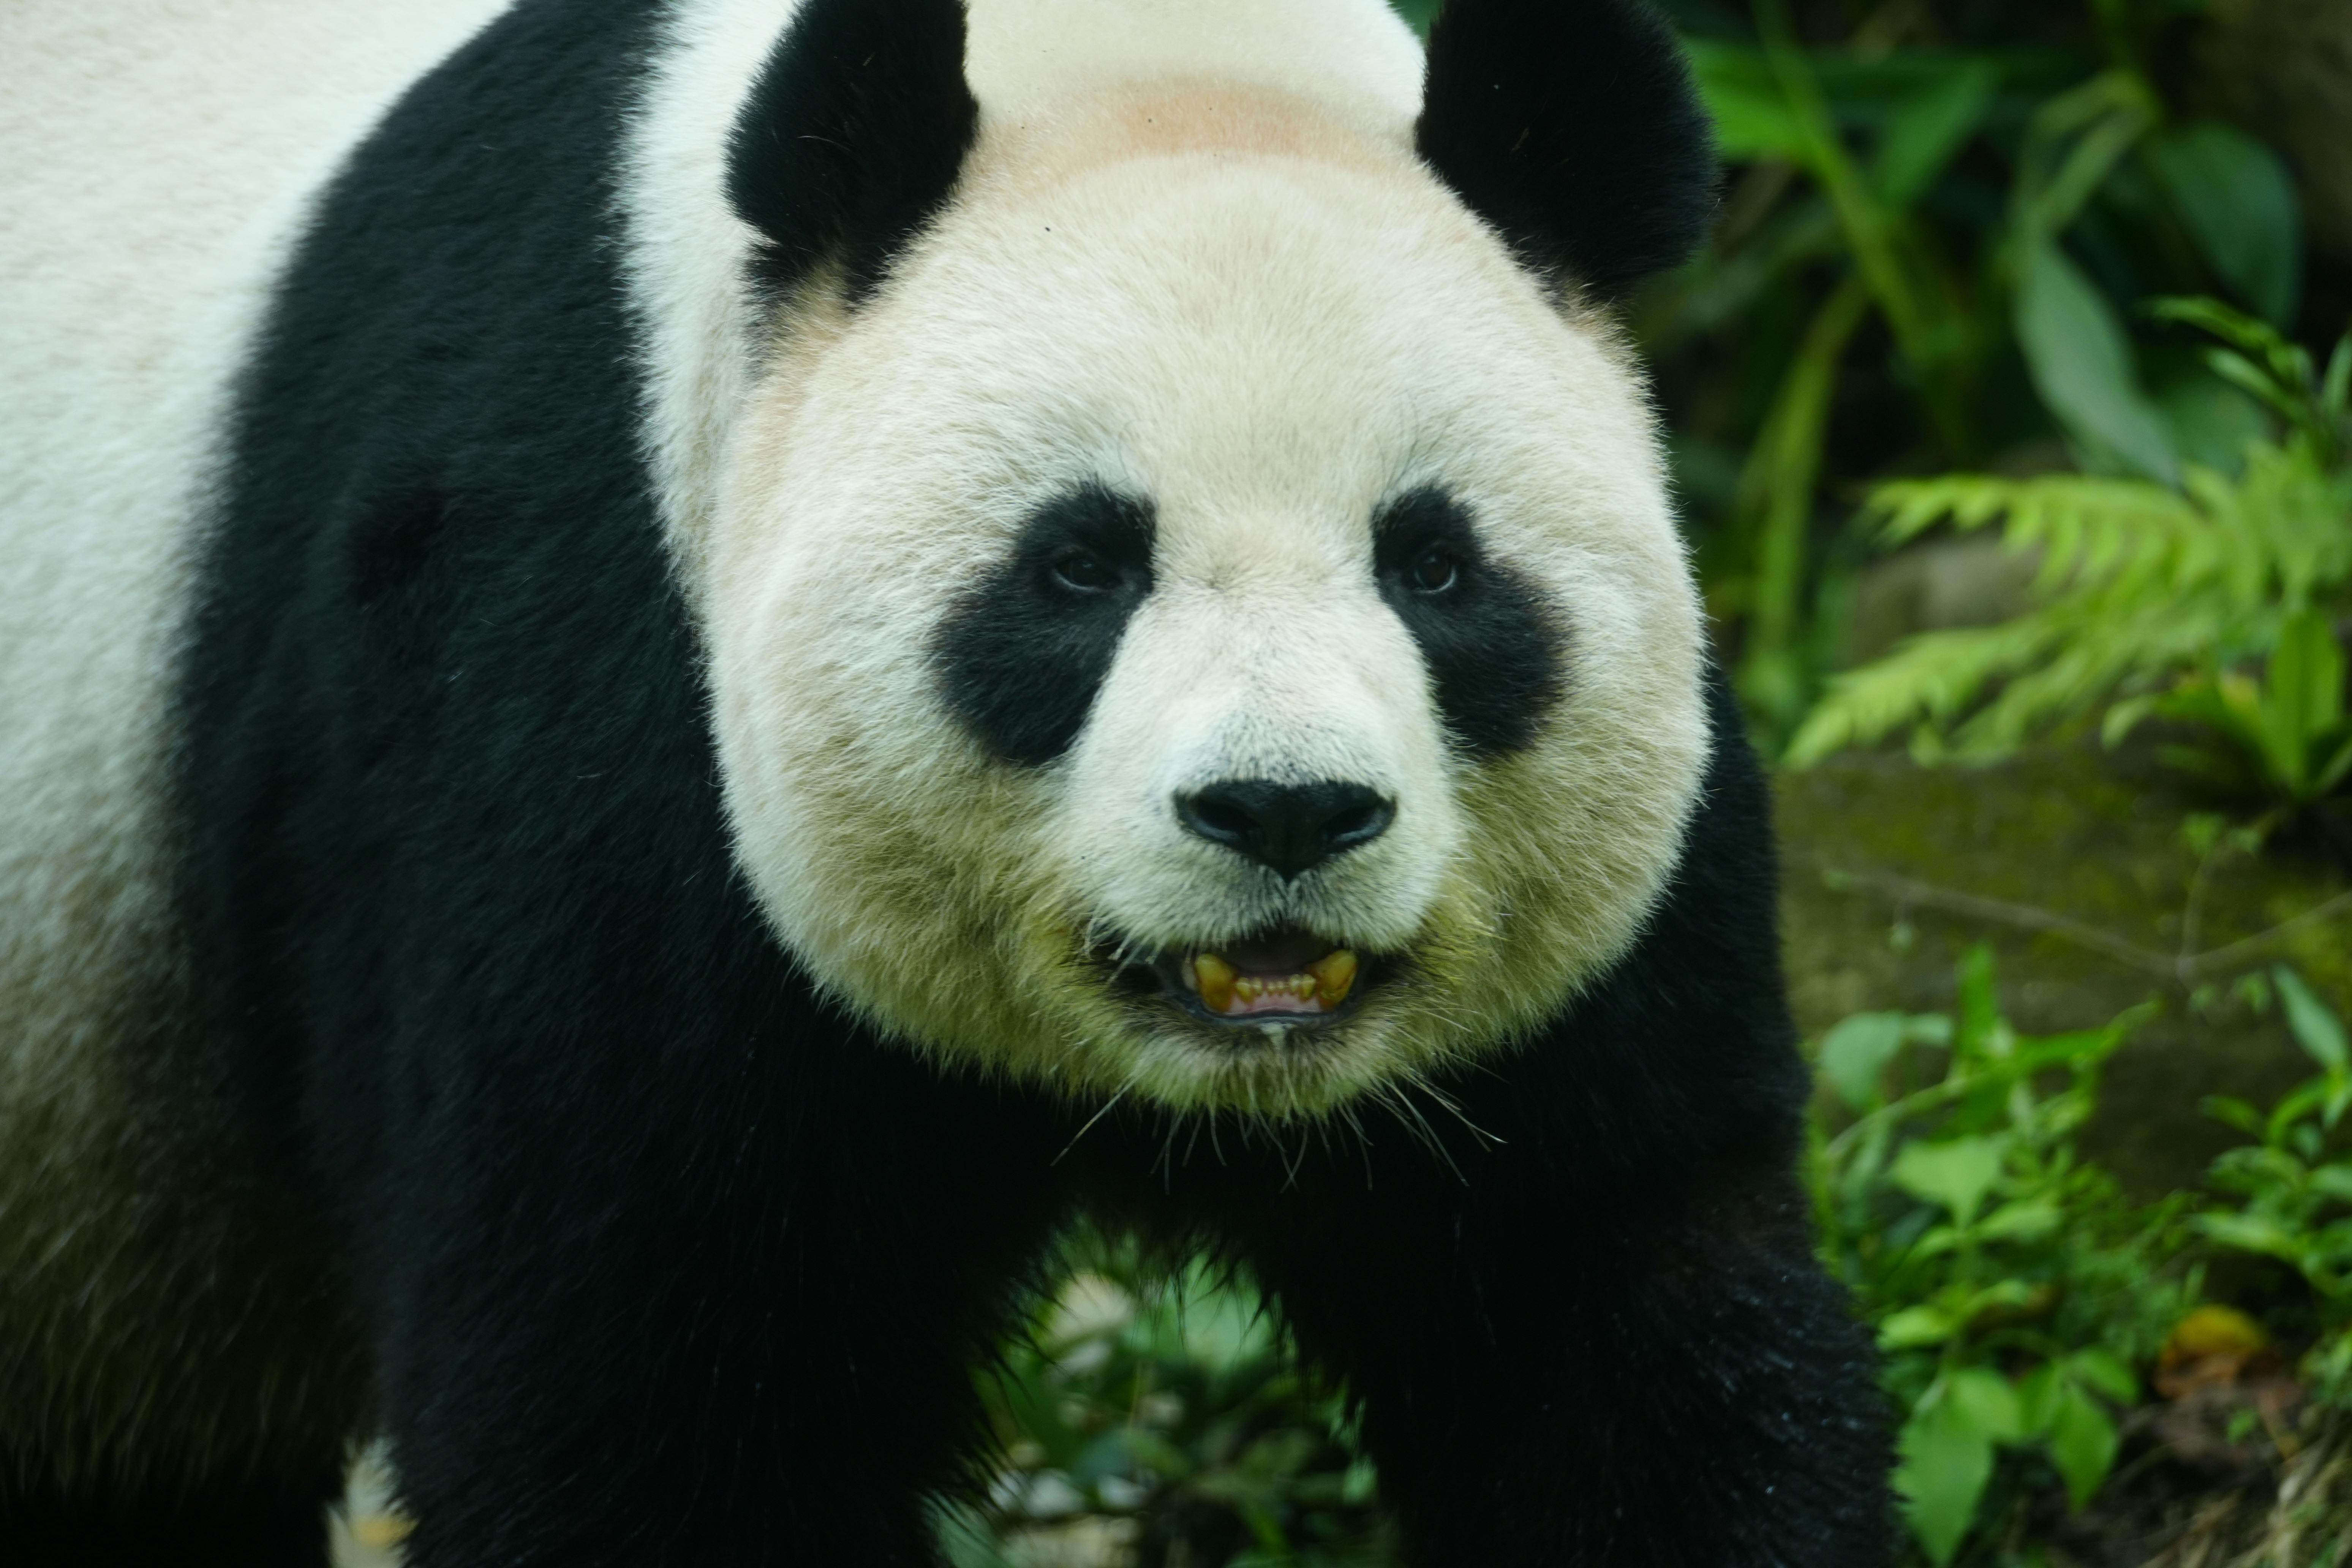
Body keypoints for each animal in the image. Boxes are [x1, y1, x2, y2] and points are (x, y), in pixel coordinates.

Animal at [0, 0, 1893, 1561]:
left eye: (1435, 567)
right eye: (1078, 568)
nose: (1283, 810)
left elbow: (1628, 1328)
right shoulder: (530, 684)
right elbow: (634, 1398)